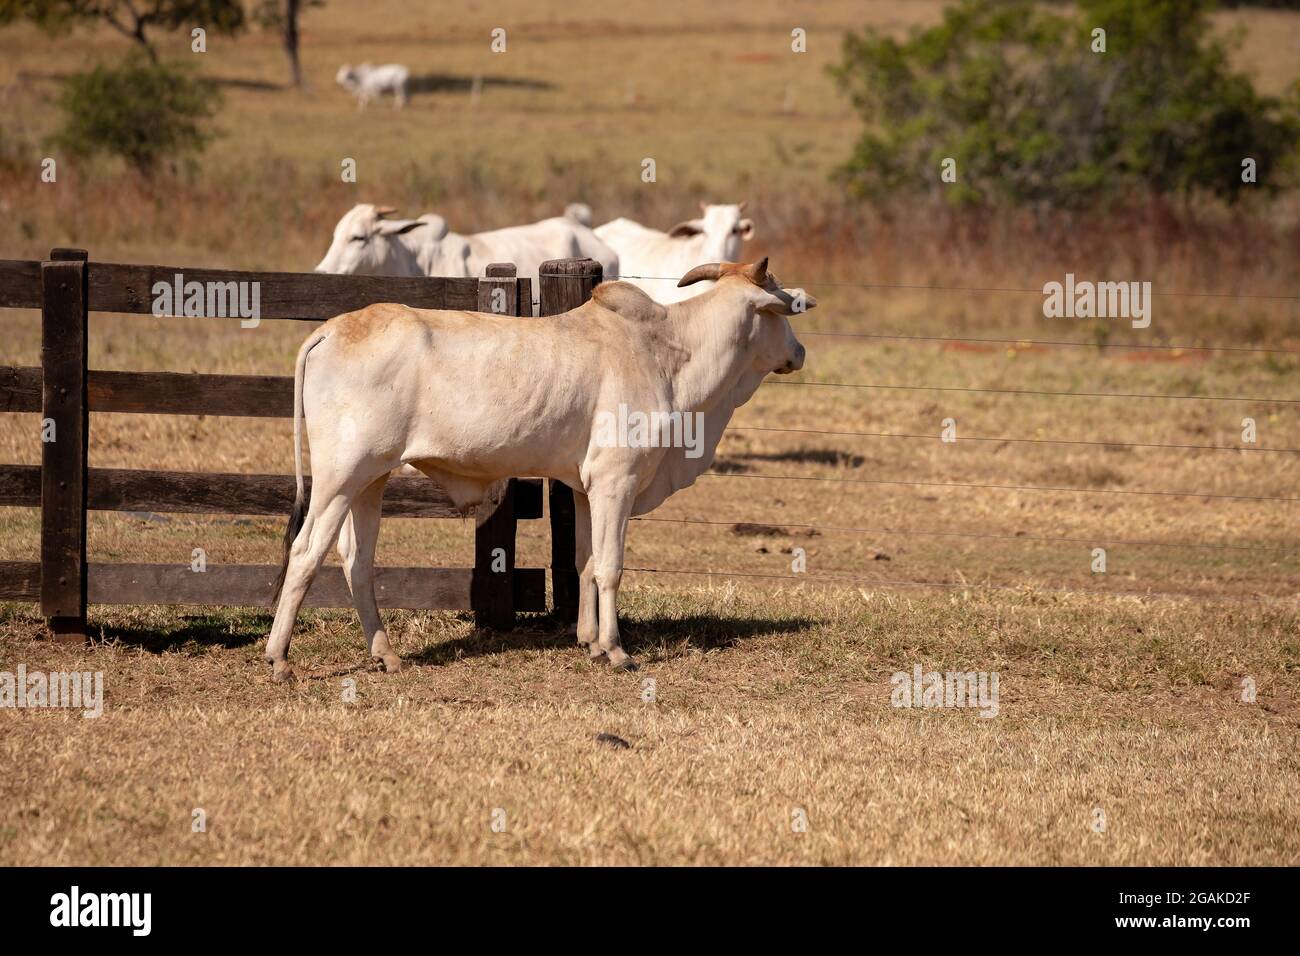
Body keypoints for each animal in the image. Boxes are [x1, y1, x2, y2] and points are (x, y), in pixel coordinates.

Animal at [264, 258, 812, 681]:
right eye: (781, 307)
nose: (801, 351)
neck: (670, 353)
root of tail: (331, 328)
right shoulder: (617, 482)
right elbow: (610, 567)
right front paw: (617, 651)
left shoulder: (588, 488)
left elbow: (585, 562)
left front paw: (590, 642)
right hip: (340, 477)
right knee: (306, 552)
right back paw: (280, 658)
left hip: (371, 479)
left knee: (356, 559)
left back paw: (386, 654)